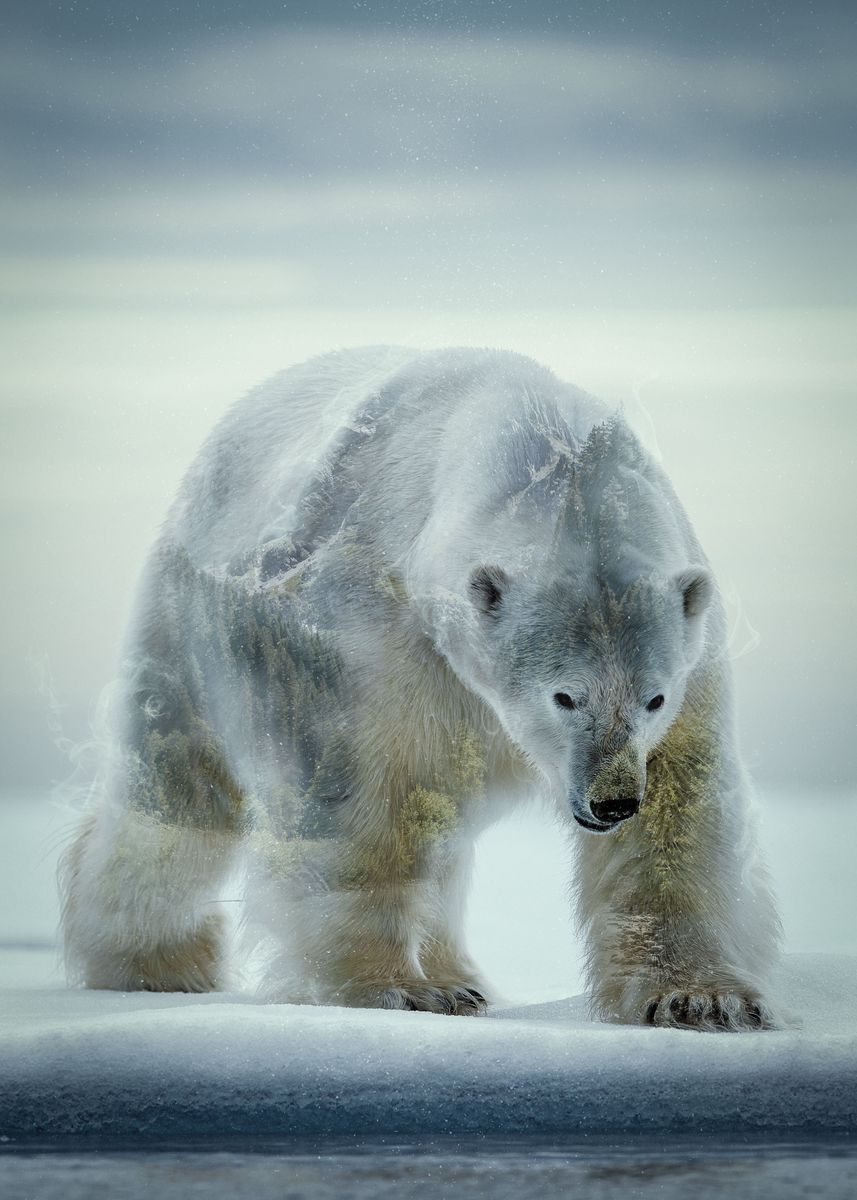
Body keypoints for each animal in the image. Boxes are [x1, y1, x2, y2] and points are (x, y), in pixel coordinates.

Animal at [60, 345, 781, 1029]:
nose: (612, 801)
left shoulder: (693, 663)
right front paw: (395, 988)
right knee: (176, 799)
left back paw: (460, 976)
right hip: (186, 627)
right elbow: (349, 802)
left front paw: (702, 1000)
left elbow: (677, 819)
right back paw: (155, 960)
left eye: (653, 698)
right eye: (563, 695)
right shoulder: (370, 636)